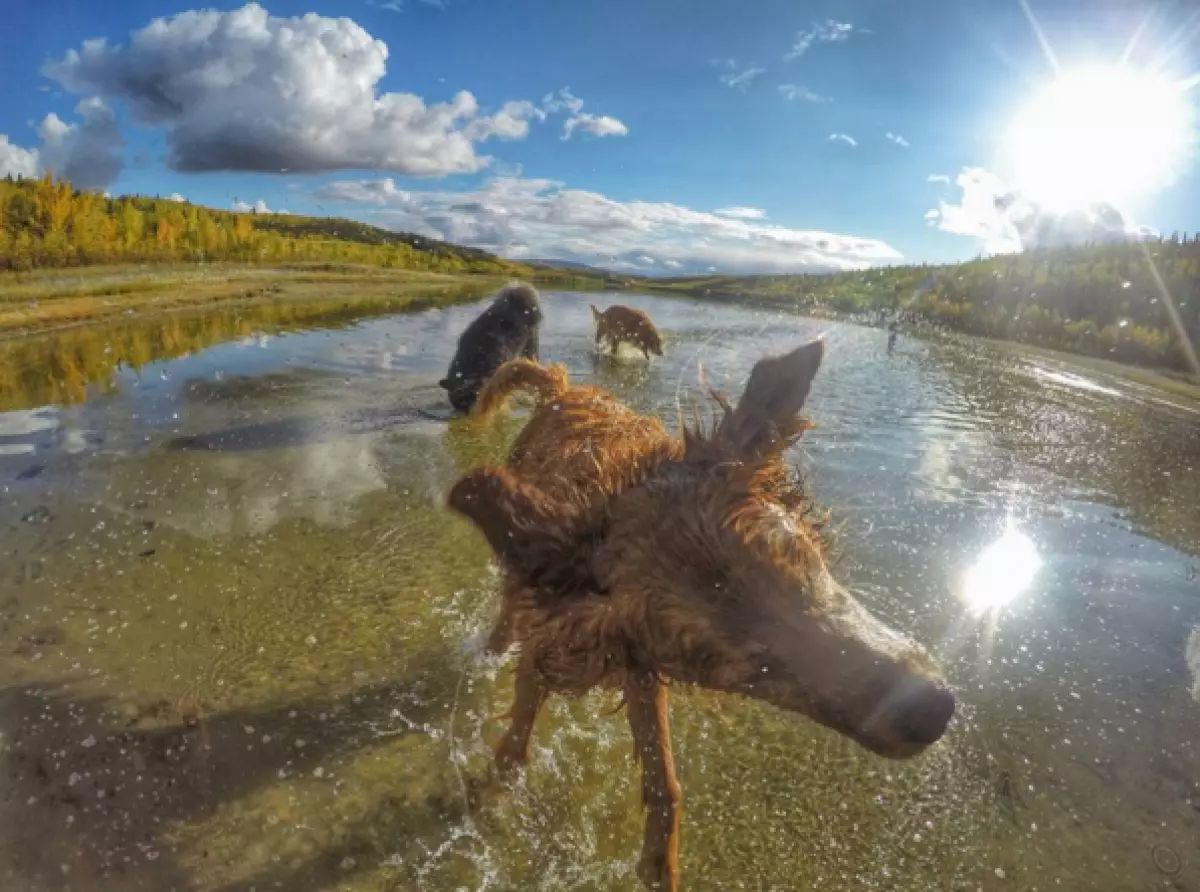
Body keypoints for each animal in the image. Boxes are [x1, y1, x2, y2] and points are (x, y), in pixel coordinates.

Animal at [451, 340, 955, 888]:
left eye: (798, 558)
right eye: (751, 667)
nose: (935, 708)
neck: (609, 486)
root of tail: (563, 388)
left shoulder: (641, 666)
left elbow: (663, 782)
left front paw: (659, 864)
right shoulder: (559, 637)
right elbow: (518, 738)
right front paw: (491, 796)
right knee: (506, 618)